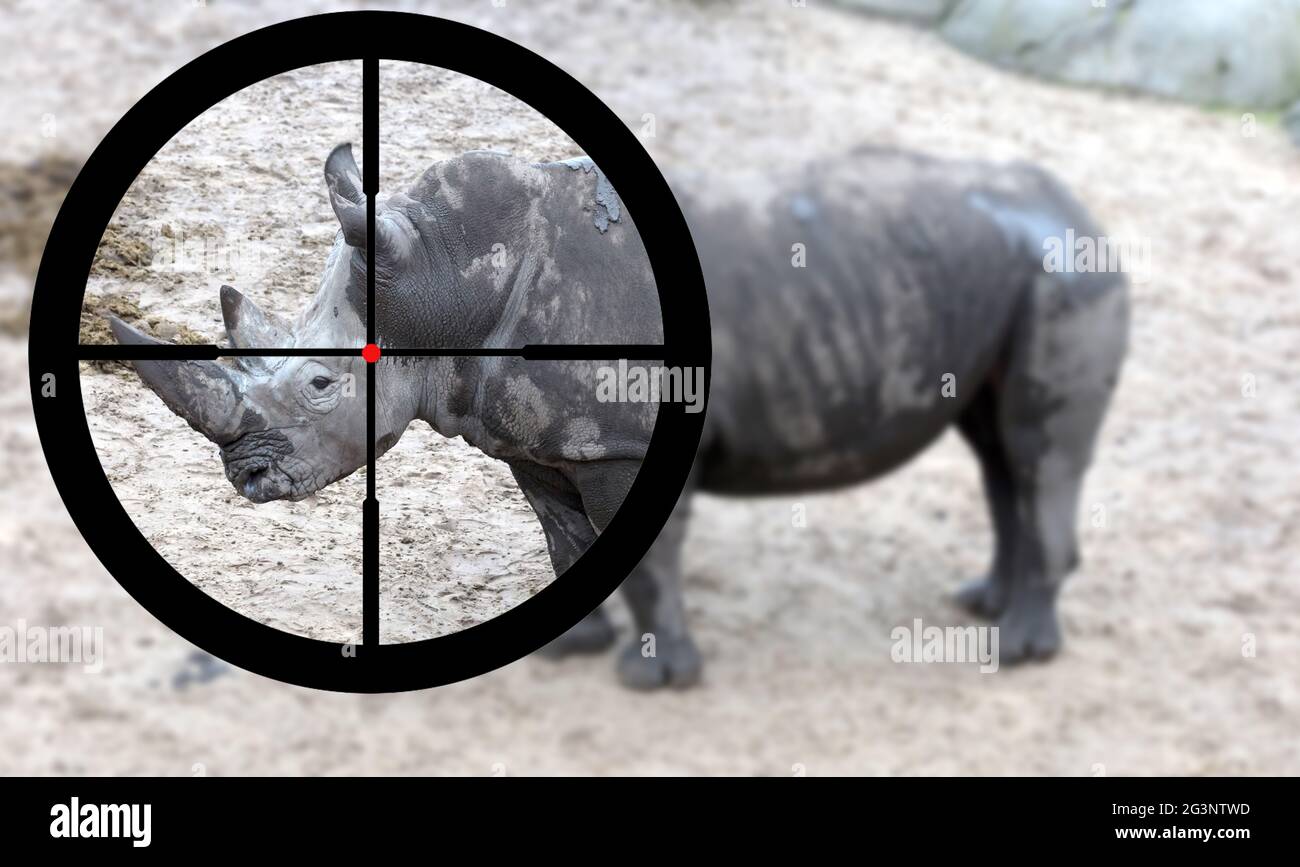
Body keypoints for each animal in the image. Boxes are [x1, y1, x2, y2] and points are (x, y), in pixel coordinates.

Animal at [112, 142, 1128, 690]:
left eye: (322, 386)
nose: (246, 476)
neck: (439, 281)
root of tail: (1075, 204)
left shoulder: (624, 439)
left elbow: (642, 555)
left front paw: (654, 676)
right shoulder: (536, 432)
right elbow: (564, 536)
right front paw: (574, 647)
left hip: (1062, 271)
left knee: (1036, 450)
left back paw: (1020, 647)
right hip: (1002, 268)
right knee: (999, 451)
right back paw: (982, 603)